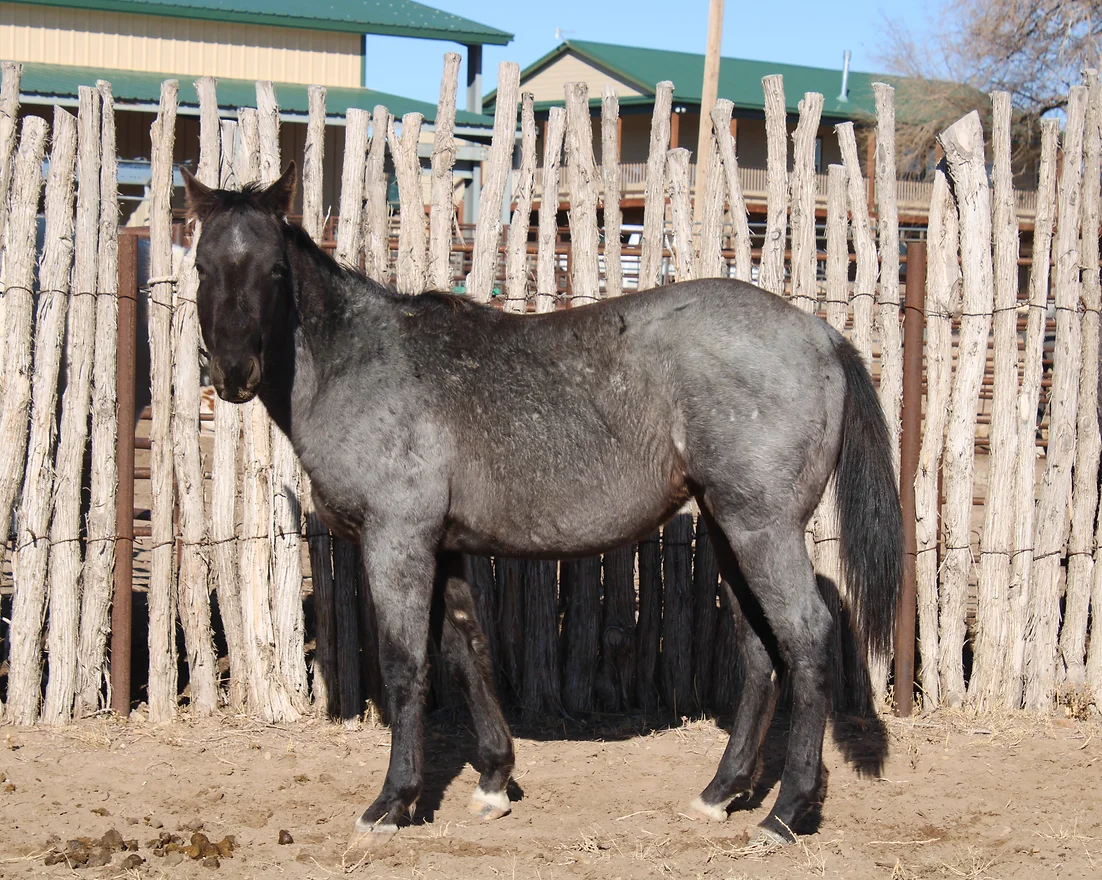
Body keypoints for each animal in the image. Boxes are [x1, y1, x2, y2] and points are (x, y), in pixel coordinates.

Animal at [181, 162, 903, 845]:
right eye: (202, 264)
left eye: (275, 269)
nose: (234, 373)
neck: (362, 361)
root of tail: (819, 334)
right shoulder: (441, 547)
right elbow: (465, 651)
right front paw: (495, 780)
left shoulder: (398, 540)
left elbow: (406, 665)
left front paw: (392, 802)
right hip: (729, 530)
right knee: (759, 650)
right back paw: (721, 793)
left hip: (763, 529)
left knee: (806, 637)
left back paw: (786, 813)